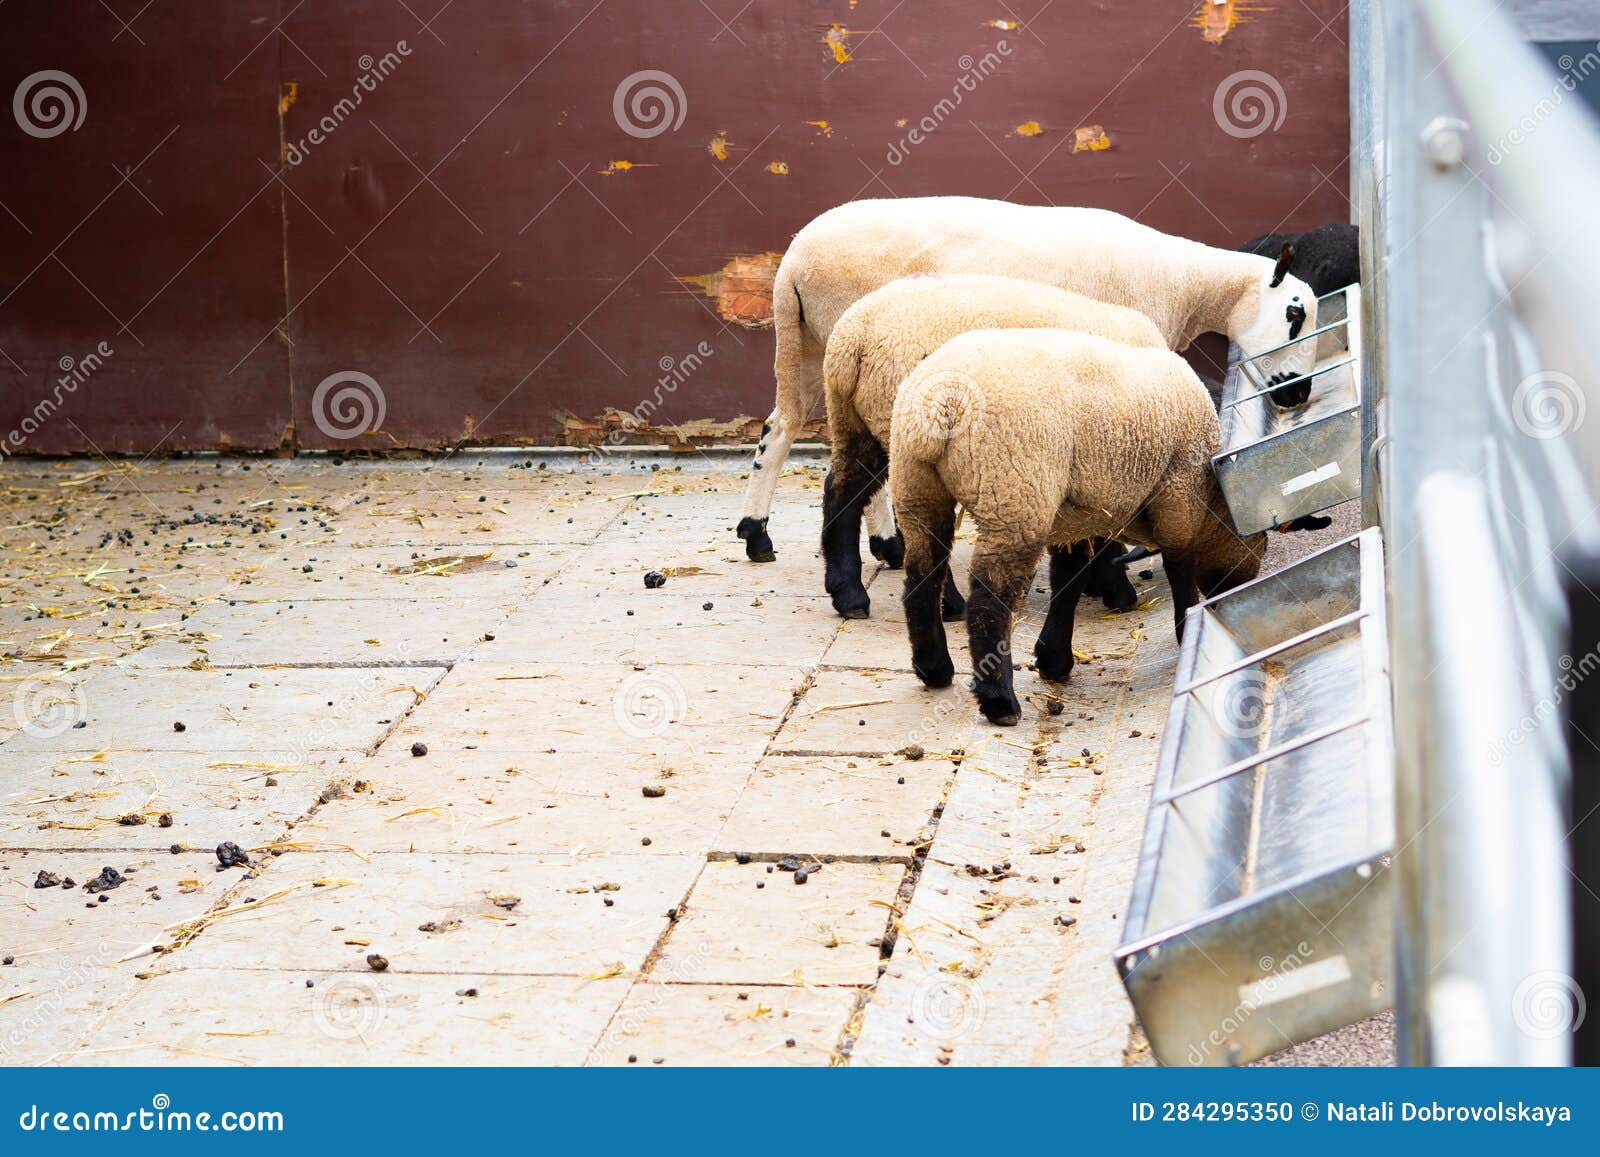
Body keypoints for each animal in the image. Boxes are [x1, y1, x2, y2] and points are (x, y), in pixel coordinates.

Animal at [737, 196, 1318, 564]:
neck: (1188, 287)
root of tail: (792, 260)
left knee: (780, 428)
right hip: (844, 342)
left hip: (812, 343)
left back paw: (763, 536)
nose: (1300, 392)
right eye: (1293, 314)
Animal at [820, 273, 1167, 622]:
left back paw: (849, 595)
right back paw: (949, 604)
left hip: (855, 420)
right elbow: (1101, 531)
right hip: (903, 426)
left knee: (841, 493)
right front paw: (1117, 591)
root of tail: (854, 338)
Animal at [888, 328, 1270, 727]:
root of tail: (941, 403)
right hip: (1015, 495)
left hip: (917, 487)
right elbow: (1179, 566)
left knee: (922, 576)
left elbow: (1068, 579)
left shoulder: (1076, 517)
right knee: (988, 599)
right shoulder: (1177, 497)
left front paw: (1054, 659)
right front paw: (1186, 628)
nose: (1235, 590)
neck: (1212, 500)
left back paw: (934, 668)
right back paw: (1000, 702)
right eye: (1262, 539)